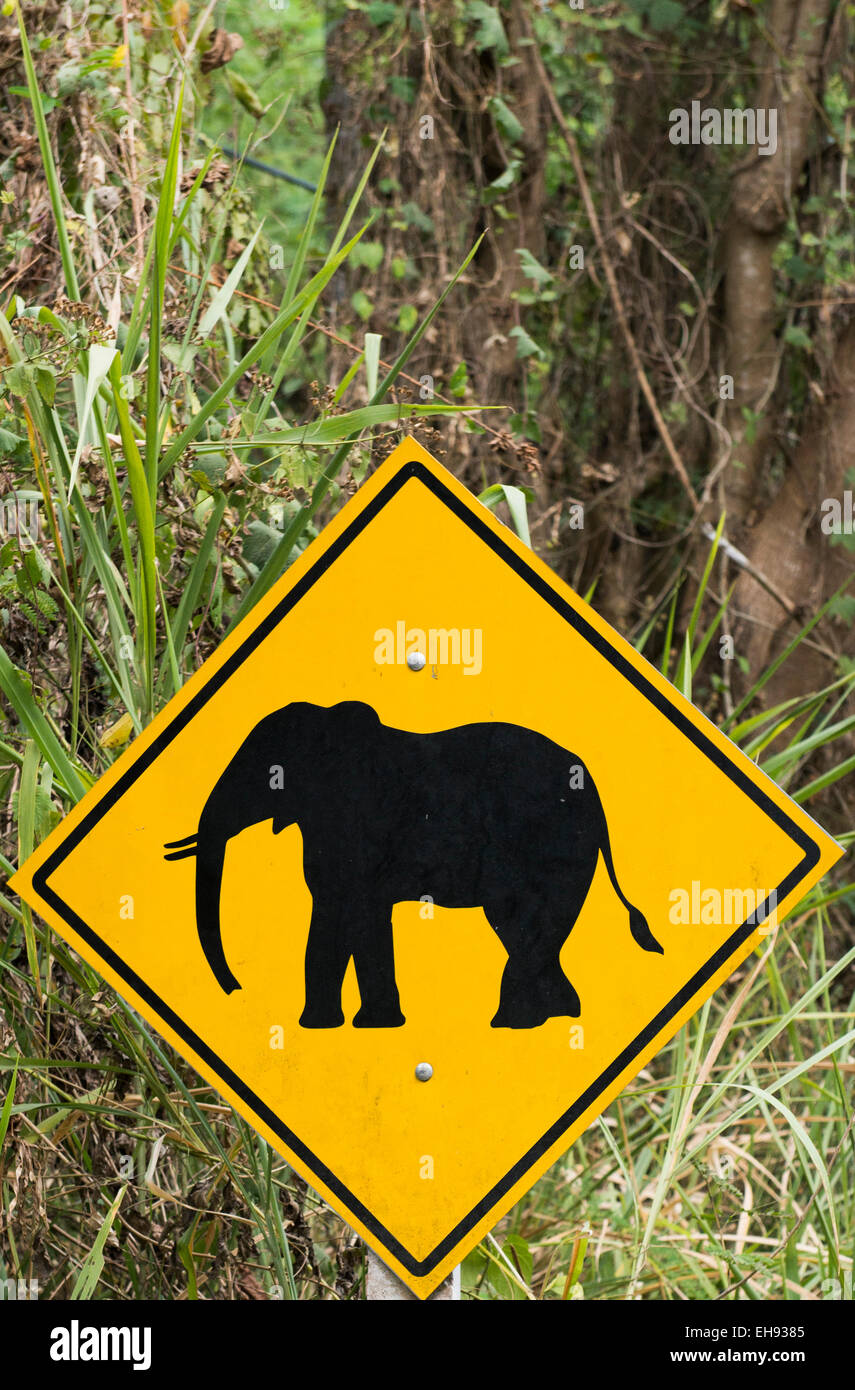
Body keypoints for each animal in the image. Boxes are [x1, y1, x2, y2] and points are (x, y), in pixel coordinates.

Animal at [164, 701, 662, 1029]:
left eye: (271, 774)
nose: (236, 991)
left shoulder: (359, 826)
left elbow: (354, 916)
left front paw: (365, 1026)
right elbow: (339, 915)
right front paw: (338, 1027)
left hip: (555, 847)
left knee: (526, 927)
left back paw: (517, 1024)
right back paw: (557, 1017)